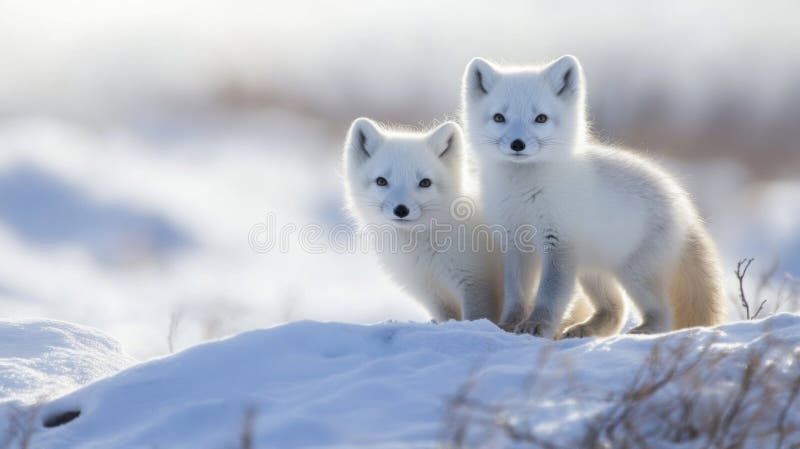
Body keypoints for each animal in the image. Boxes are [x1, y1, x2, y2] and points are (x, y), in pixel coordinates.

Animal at [460, 55, 726, 338]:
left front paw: (537, 325)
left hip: (635, 272)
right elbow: (516, 294)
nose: (517, 144)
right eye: (499, 117)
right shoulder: (514, 242)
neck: (523, 190)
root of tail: (684, 206)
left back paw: (641, 331)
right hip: (591, 271)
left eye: (541, 118)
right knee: (615, 310)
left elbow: (550, 294)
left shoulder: (559, 241)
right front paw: (507, 326)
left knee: (663, 315)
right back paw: (585, 329)